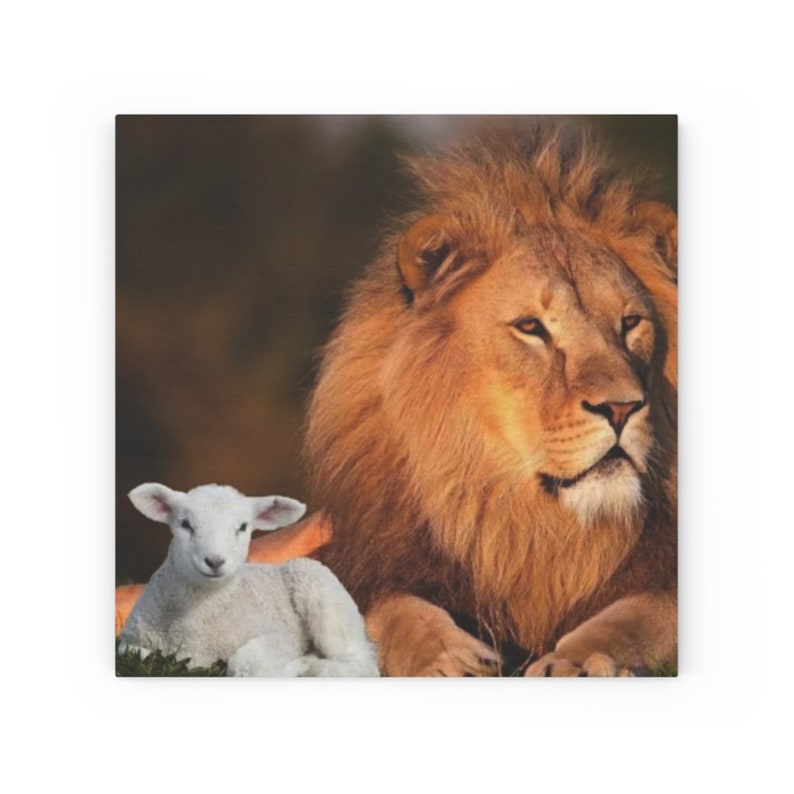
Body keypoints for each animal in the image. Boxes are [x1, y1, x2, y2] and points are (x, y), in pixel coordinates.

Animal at [118, 483, 380, 677]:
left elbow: (243, 663)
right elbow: (140, 655)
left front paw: (297, 666)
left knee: (362, 663)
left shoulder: (283, 636)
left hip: (321, 592)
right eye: (185, 524)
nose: (214, 561)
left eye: (243, 527)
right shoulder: (131, 644)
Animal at [304, 126, 678, 676]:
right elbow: (388, 613)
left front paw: (574, 662)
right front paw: (447, 658)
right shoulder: (382, 565)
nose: (621, 408)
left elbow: (637, 619)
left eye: (630, 322)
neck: (523, 520)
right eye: (531, 327)